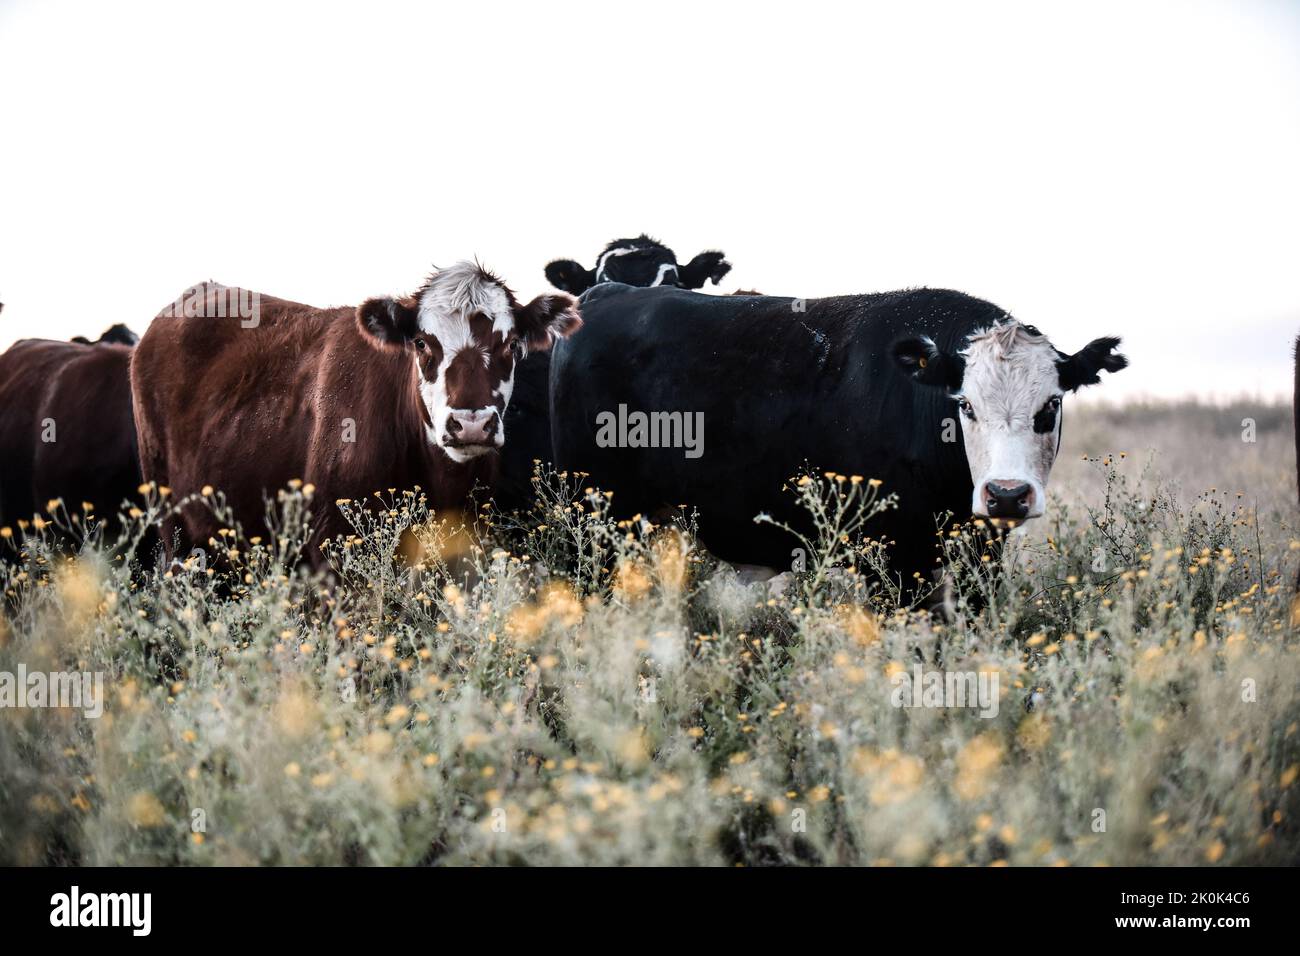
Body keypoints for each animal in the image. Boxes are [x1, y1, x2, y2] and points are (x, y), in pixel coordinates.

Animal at [549, 284, 1127, 594]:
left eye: (1050, 406)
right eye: (965, 405)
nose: (1007, 494)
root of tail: (606, 293)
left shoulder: (978, 552)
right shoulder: (898, 557)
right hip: (593, 517)